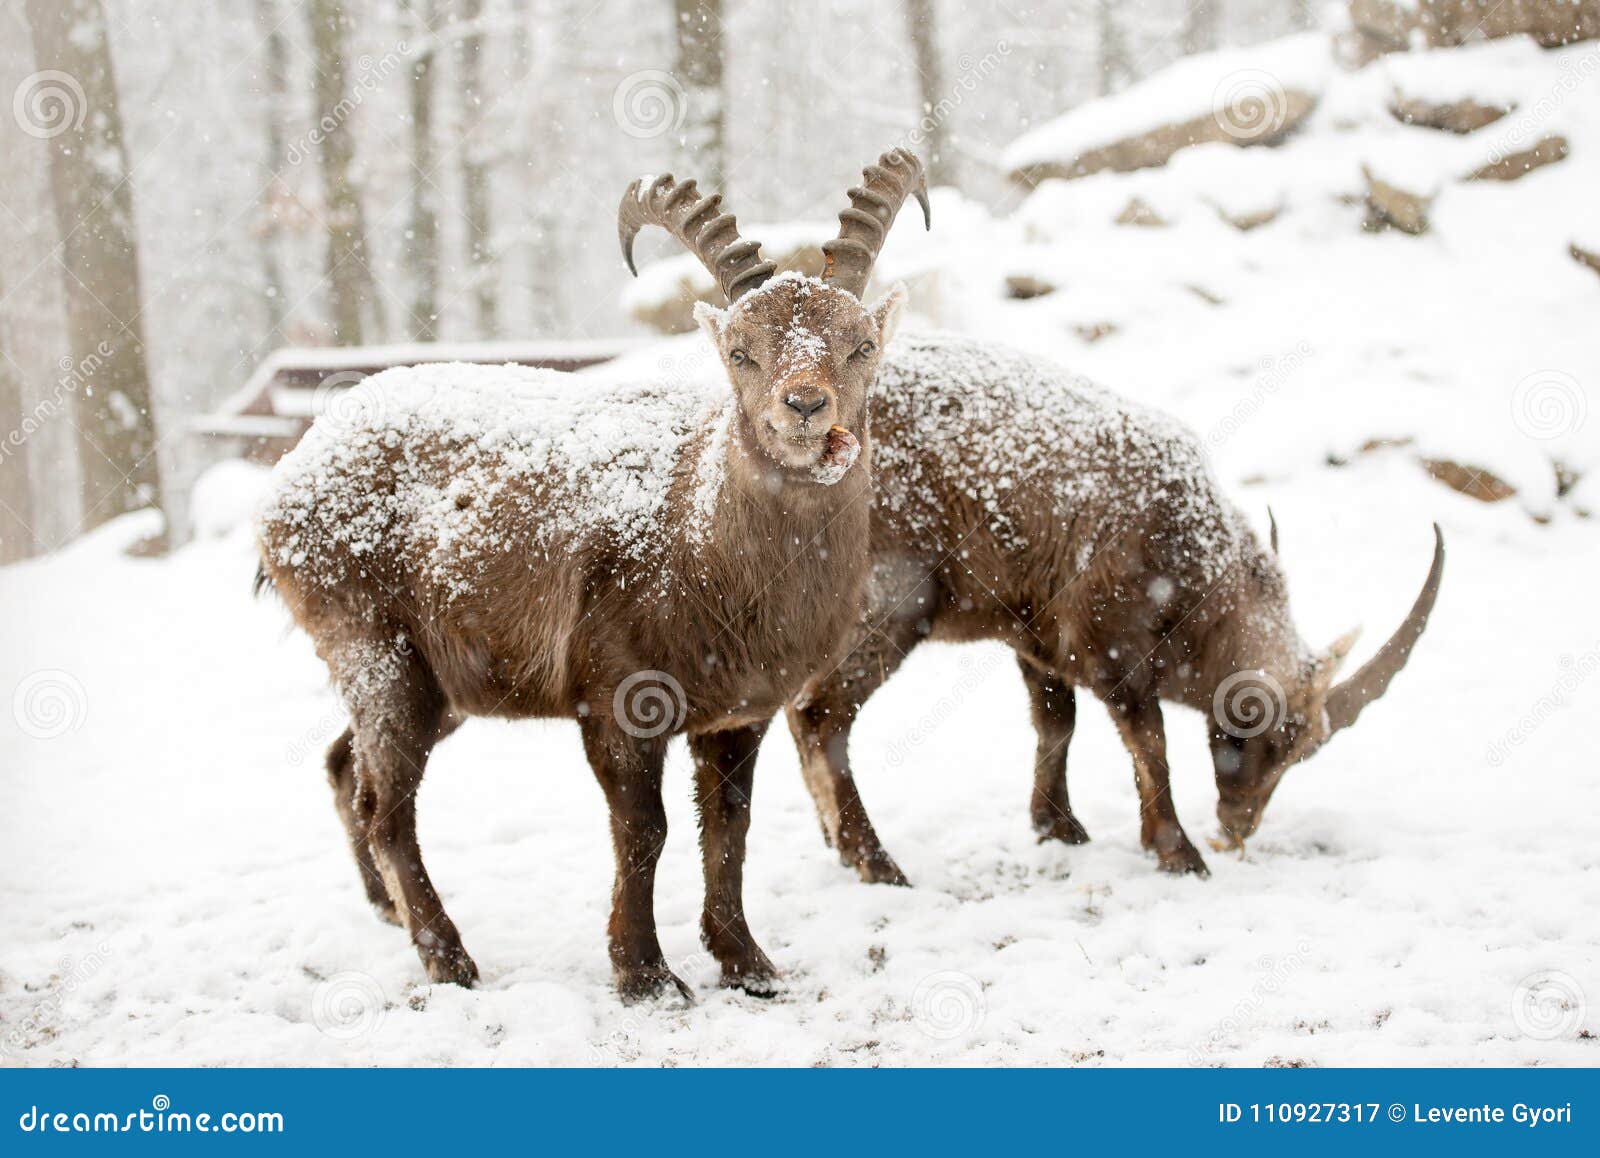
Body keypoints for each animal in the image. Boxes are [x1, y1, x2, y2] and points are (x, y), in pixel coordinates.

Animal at [256, 149, 929, 1000]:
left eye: (861, 344)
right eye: (740, 350)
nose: (804, 407)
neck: (704, 546)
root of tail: (291, 474)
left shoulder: (738, 712)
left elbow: (729, 827)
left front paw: (746, 961)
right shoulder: (617, 697)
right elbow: (644, 828)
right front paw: (644, 974)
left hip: (443, 683)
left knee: (346, 766)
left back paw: (387, 912)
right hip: (373, 648)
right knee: (386, 805)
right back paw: (448, 957)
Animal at [785, 334, 1444, 882]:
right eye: (1287, 742)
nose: (1239, 826)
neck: (1190, 550)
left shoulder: (1037, 633)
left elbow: (1057, 722)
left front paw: (1058, 825)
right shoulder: (1111, 637)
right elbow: (1150, 742)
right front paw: (1178, 851)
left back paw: (832, 837)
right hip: (891, 604)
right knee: (821, 714)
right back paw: (873, 859)